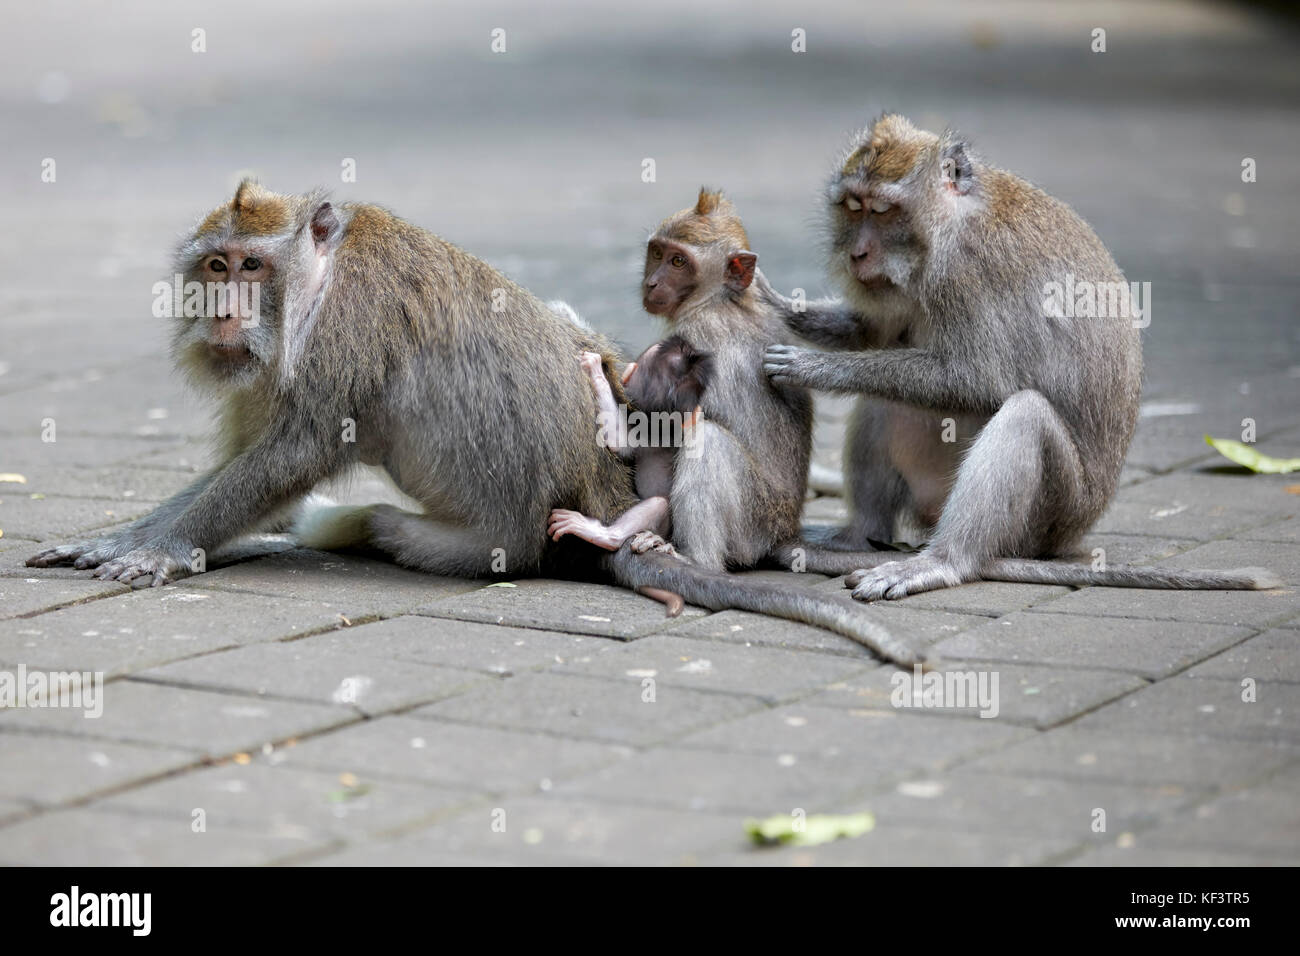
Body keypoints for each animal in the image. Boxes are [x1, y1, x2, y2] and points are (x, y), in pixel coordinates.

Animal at [27, 180, 919, 667]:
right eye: (216, 265)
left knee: (388, 524)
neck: (315, 282)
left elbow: (291, 456)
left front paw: (167, 548)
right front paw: (125, 537)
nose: (223, 309)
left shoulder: (342, 329)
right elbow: (246, 462)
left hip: (492, 540)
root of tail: (604, 506)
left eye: (253, 265)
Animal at [760, 114, 1278, 599]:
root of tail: (1073, 534)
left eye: (884, 211)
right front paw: (780, 306)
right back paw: (859, 536)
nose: (858, 254)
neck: (952, 221)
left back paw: (944, 561)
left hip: (1052, 514)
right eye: (853, 207)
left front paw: (817, 368)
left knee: (1024, 415)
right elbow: (875, 331)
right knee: (882, 401)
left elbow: (978, 379)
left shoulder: (965, 271)